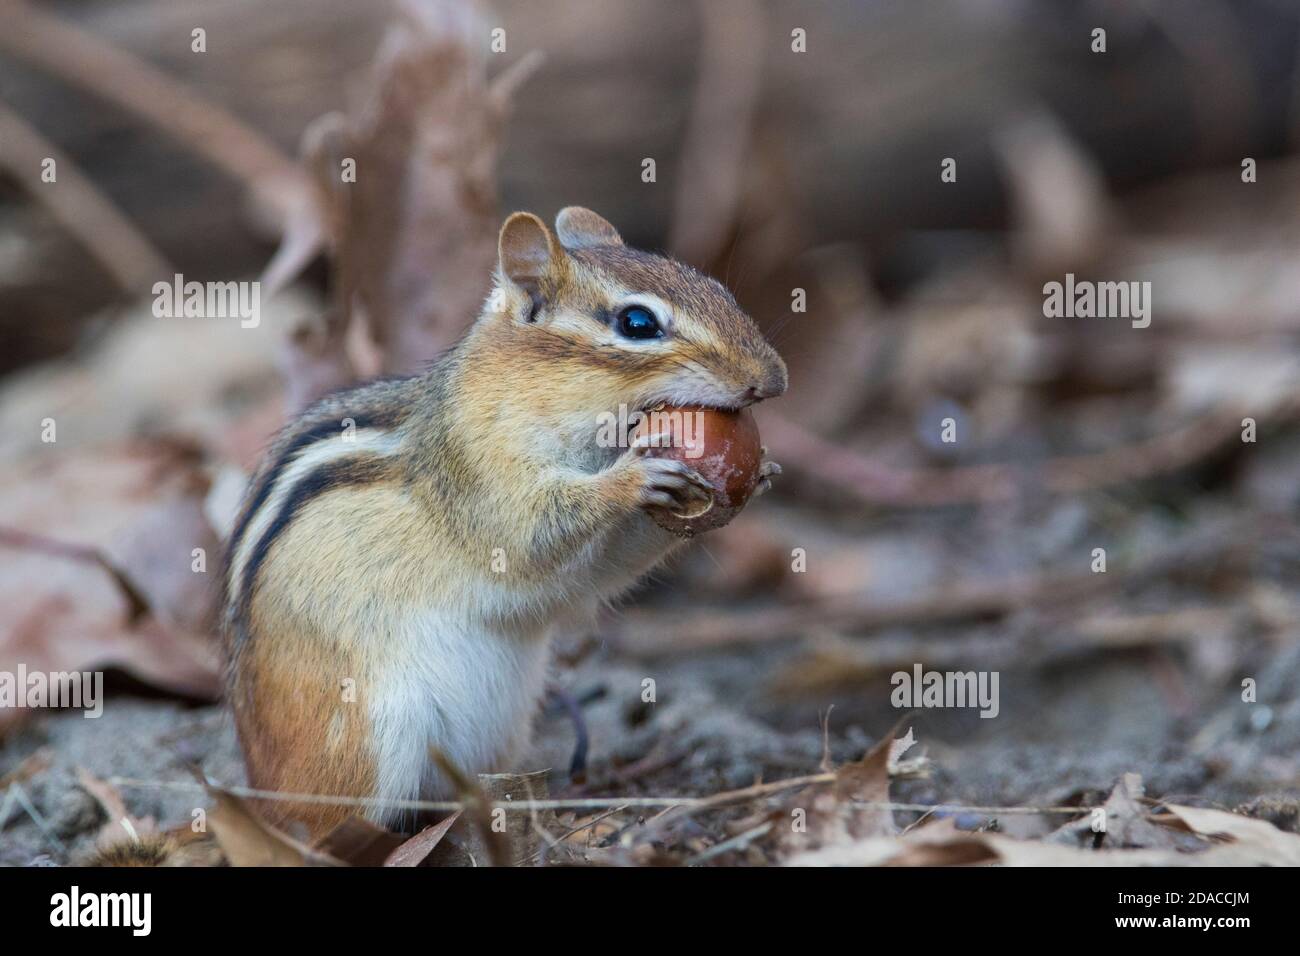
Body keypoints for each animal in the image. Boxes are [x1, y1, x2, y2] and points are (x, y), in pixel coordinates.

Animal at [222, 206, 787, 838]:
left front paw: (760, 472)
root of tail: (260, 788)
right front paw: (633, 477)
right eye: (638, 323)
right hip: (366, 731)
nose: (774, 378)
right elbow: (528, 534)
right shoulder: (483, 472)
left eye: (720, 291)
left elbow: (600, 573)